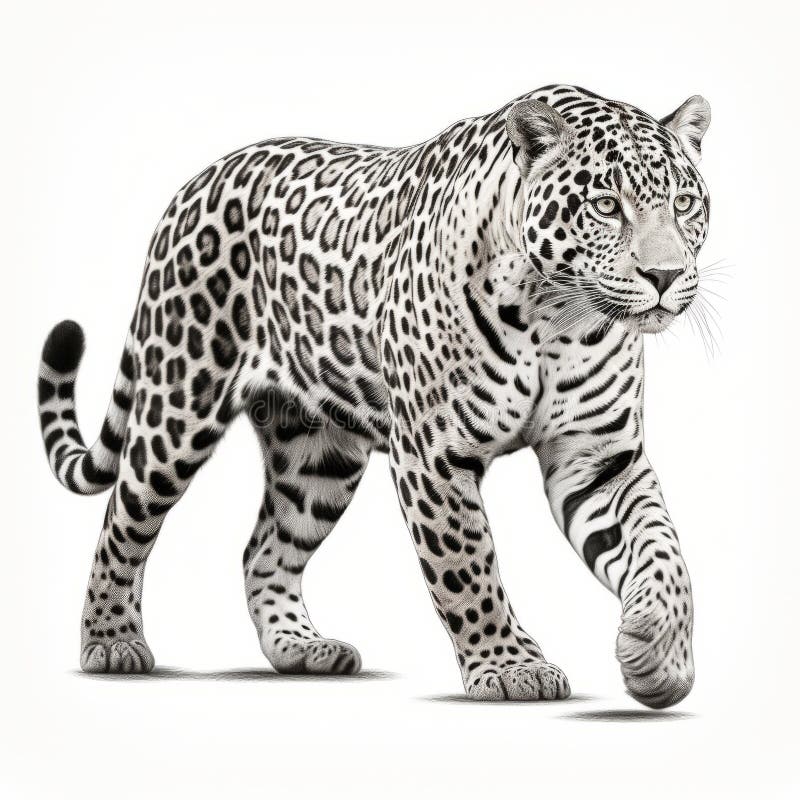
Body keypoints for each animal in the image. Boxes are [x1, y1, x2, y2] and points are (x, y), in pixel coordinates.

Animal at [38, 84, 711, 707]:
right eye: (605, 206)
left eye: (684, 204)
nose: (666, 275)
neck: (557, 315)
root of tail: (196, 181)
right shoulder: (433, 454)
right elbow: (468, 565)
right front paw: (509, 666)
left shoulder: (597, 455)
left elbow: (661, 547)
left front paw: (660, 654)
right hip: (178, 402)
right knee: (123, 517)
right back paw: (111, 642)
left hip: (317, 458)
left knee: (263, 549)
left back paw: (300, 646)